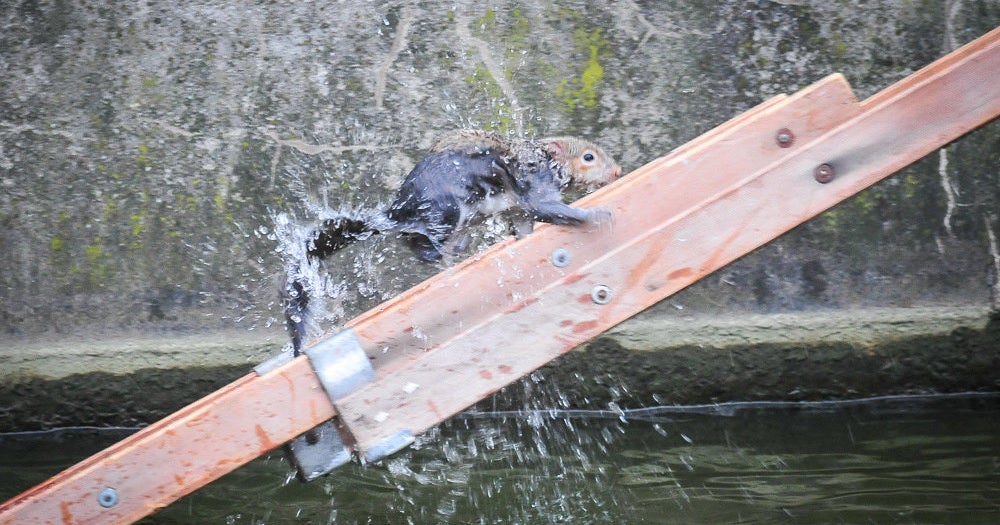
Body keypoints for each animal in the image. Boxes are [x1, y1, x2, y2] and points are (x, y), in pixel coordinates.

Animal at [283, 130, 621, 354]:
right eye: (588, 157)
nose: (617, 171)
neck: (545, 162)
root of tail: (395, 213)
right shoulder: (534, 184)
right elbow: (547, 208)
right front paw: (595, 215)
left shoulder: (516, 209)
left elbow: (524, 225)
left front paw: (524, 237)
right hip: (446, 211)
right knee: (425, 249)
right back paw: (454, 248)